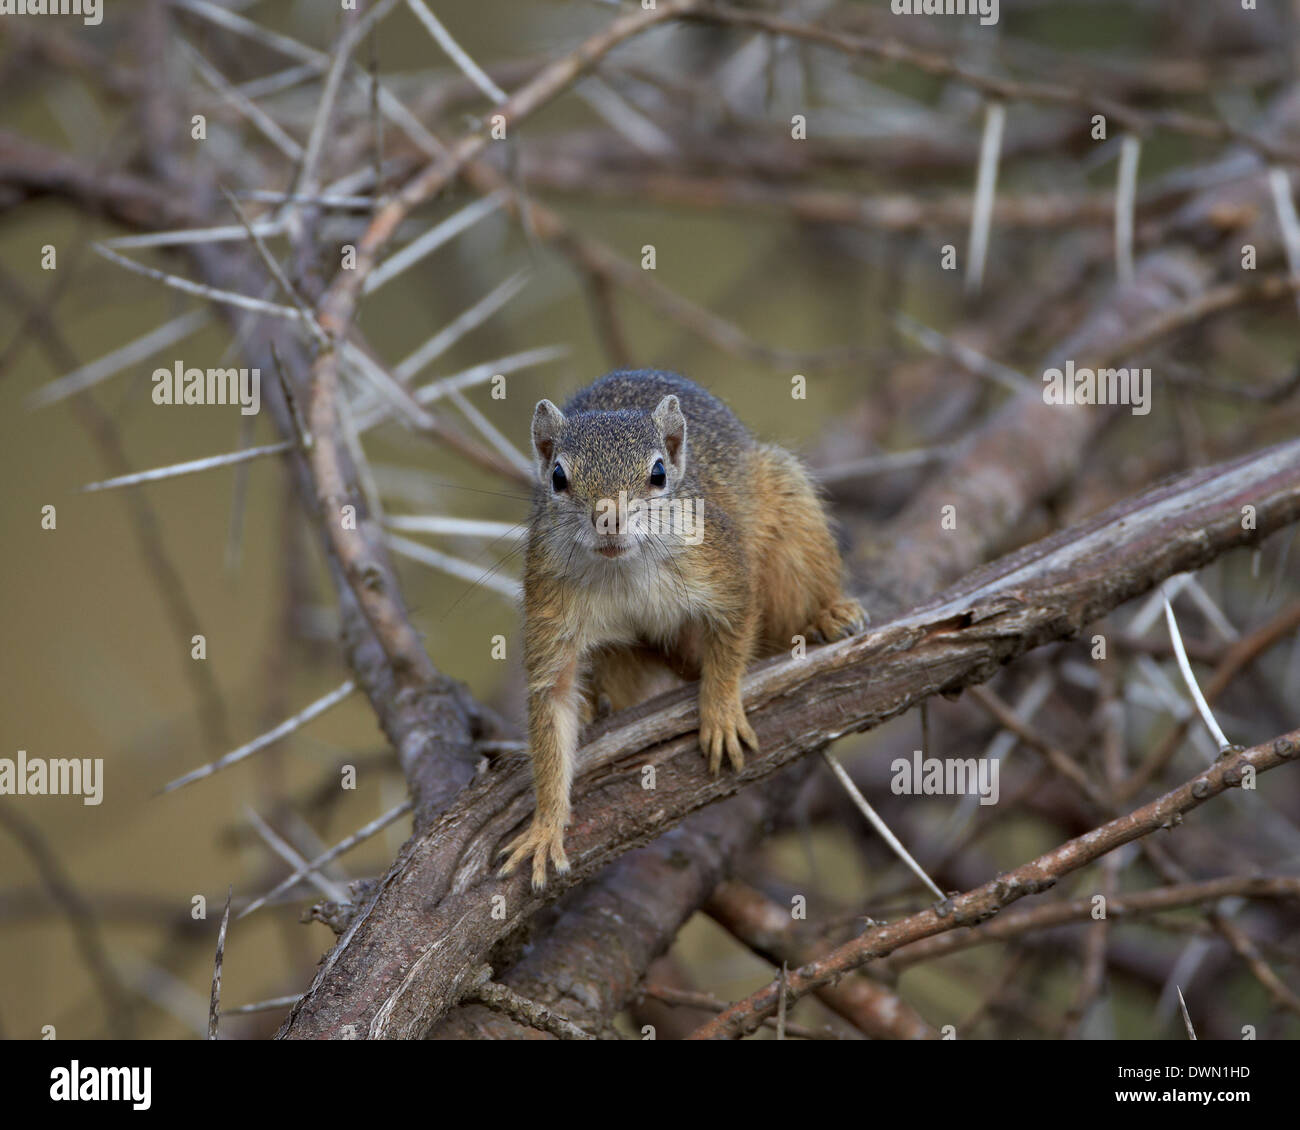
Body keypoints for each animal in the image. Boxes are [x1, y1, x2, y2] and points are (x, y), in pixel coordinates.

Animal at [498, 370, 866, 889]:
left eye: (658, 474)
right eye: (557, 477)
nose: (608, 519)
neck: (622, 567)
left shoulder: (723, 572)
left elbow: (734, 633)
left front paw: (722, 712)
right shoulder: (550, 605)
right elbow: (553, 708)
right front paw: (546, 827)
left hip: (792, 516)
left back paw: (828, 615)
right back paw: (597, 707)